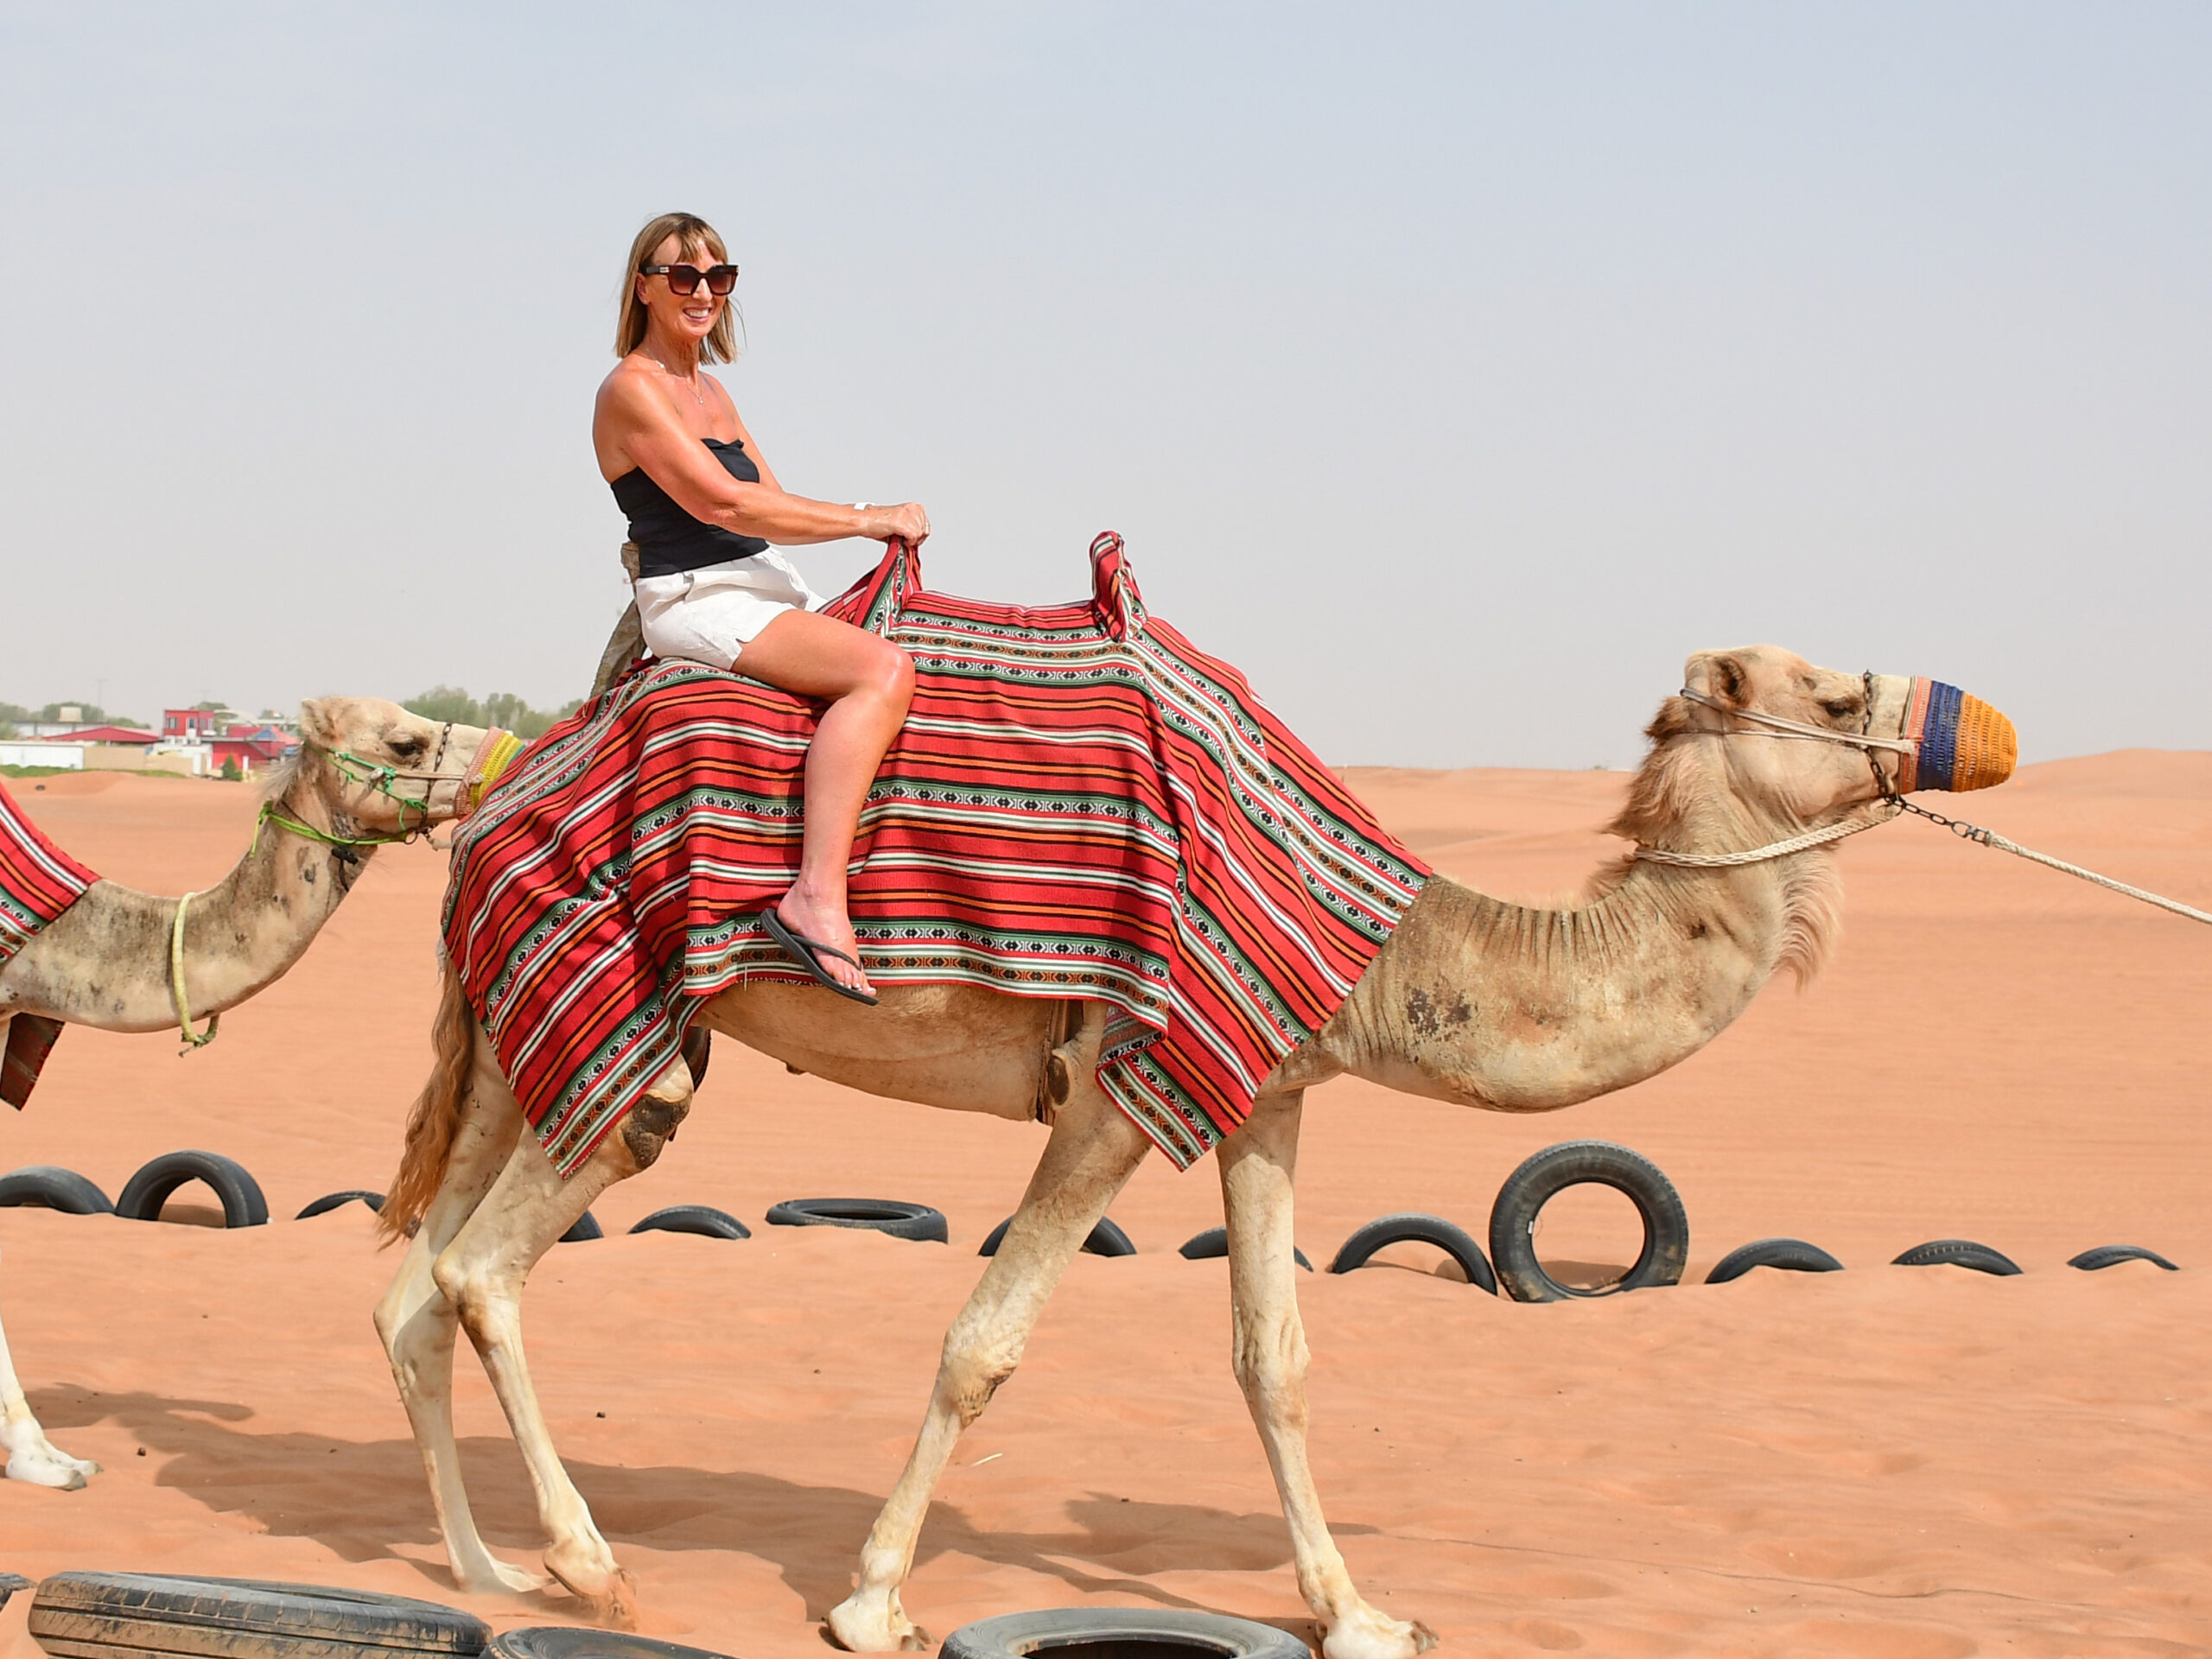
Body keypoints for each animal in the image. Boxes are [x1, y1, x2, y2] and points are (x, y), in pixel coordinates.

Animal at [372, 647, 1995, 1659]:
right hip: (629, 1009)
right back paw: (587, 1566)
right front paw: (872, 1603)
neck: (1386, 942)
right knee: (483, 1267)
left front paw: (1362, 1618)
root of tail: (497, 794)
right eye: (1831, 689)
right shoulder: (1117, 1085)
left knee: (409, 1293)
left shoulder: (1266, 1094)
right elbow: (983, 1344)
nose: (1973, 727)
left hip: (517, 1030)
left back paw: (484, 1570)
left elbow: (1275, 1356)